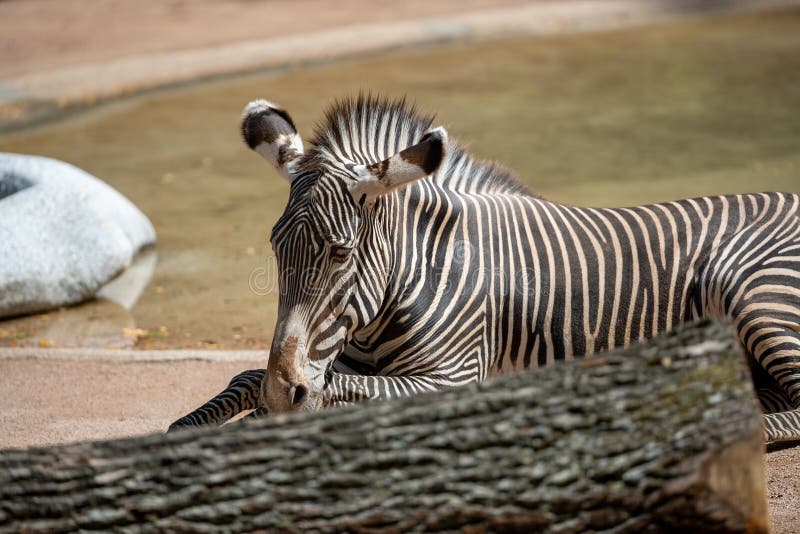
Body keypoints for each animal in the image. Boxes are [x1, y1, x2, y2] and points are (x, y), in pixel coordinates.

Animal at [170, 94, 800, 444]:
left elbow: (337, 389)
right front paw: (192, 427)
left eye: (340, 253)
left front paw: (262, 418)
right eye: (276, 247)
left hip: (757, 292)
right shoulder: (332, 353)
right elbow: (251, 375)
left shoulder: (452, 377)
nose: (284, 395)